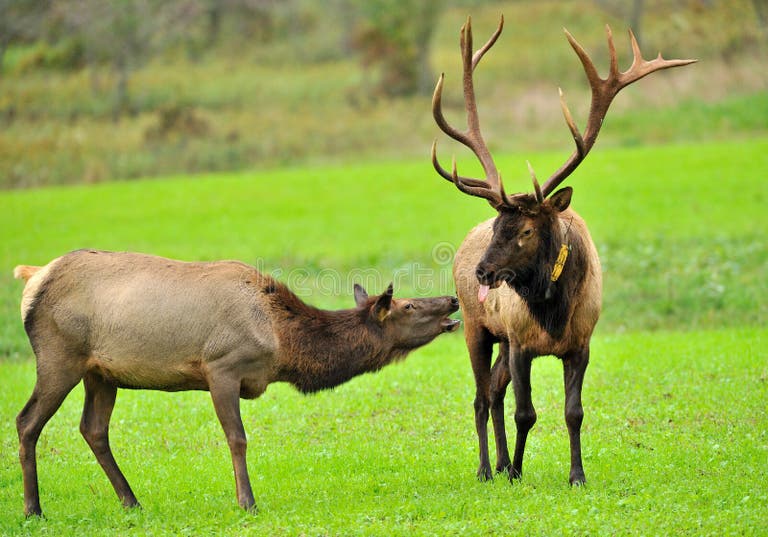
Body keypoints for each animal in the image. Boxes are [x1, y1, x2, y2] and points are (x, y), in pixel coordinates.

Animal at [13, 249, 460, 517]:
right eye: (408, 305)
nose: (453, 299)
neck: (281, 344)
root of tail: (34, 276)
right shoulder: (221, 367)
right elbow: (237, 438)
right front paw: (247, 502)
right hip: (59, 356)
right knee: (27, 421)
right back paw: (33, 509)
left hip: (101, 373)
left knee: (93, 429)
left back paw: (131, 501)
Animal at [431, 16, 695, 484]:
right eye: (498, 225)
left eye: (526, 229)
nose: (482, 271)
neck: (552, 309)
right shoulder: (520, 341)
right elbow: (526, 412)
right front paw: (518, 470)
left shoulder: (581, 342)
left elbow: (574, 412)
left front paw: (576, 475)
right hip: (477, 327)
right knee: (481, 397)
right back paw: (488, 468)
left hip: (499, 339)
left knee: (493, 391)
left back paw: (500, 463)